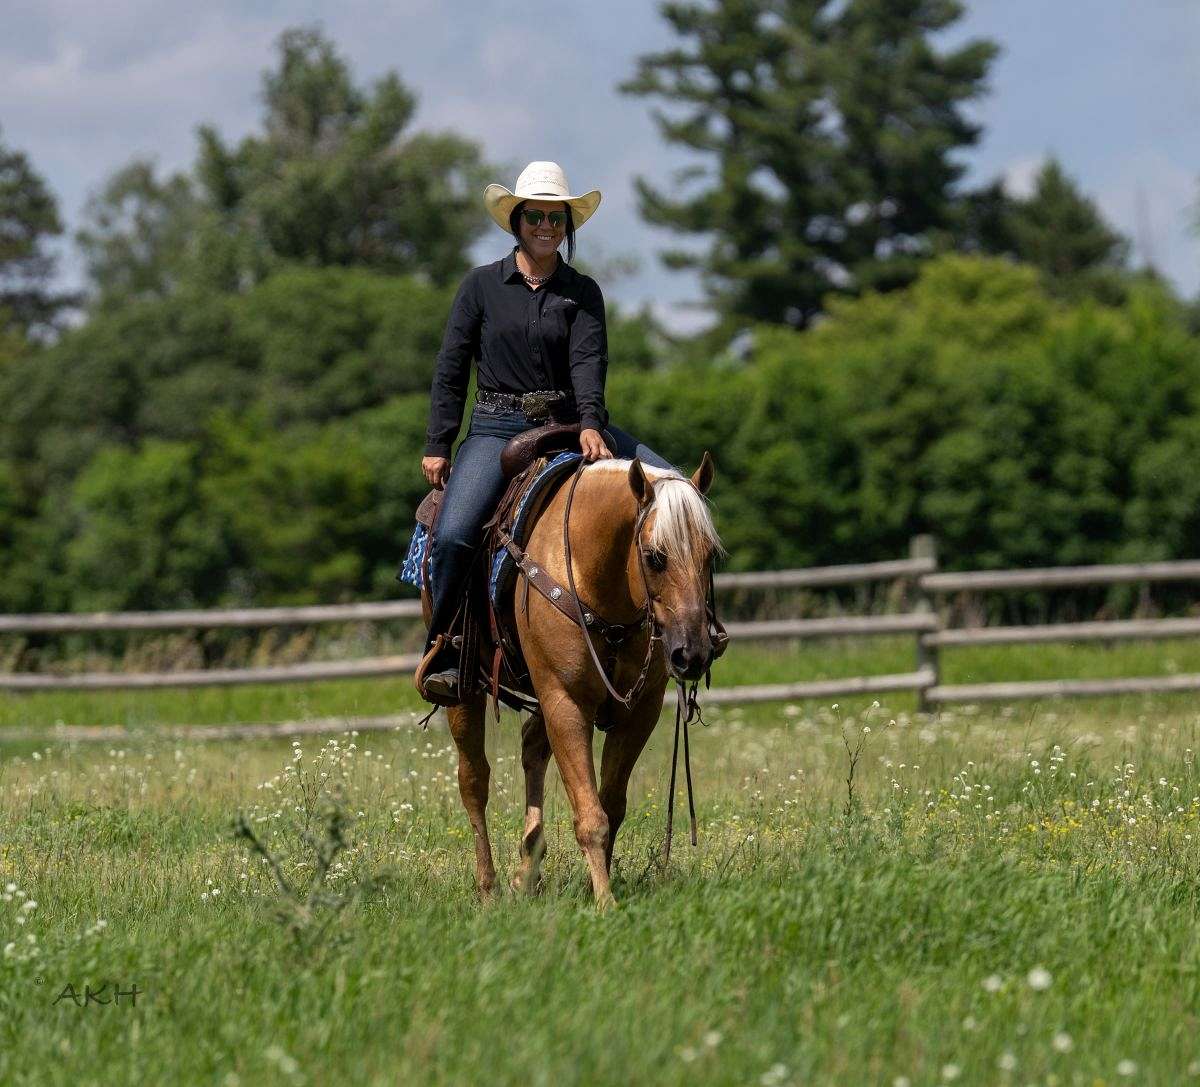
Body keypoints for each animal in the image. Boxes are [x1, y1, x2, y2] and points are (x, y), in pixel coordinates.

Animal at [443, 453, 722, 907]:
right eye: (654, 556)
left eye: (710, 554)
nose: (693, 653)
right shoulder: (565, 702)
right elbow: (591, 816)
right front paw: (606, 902)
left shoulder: (638, 711)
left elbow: (612, 807)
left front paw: (598, 887)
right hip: (466, 692)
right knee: (473, 781)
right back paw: (487, 886)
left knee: (531, 750)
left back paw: (526, 871)